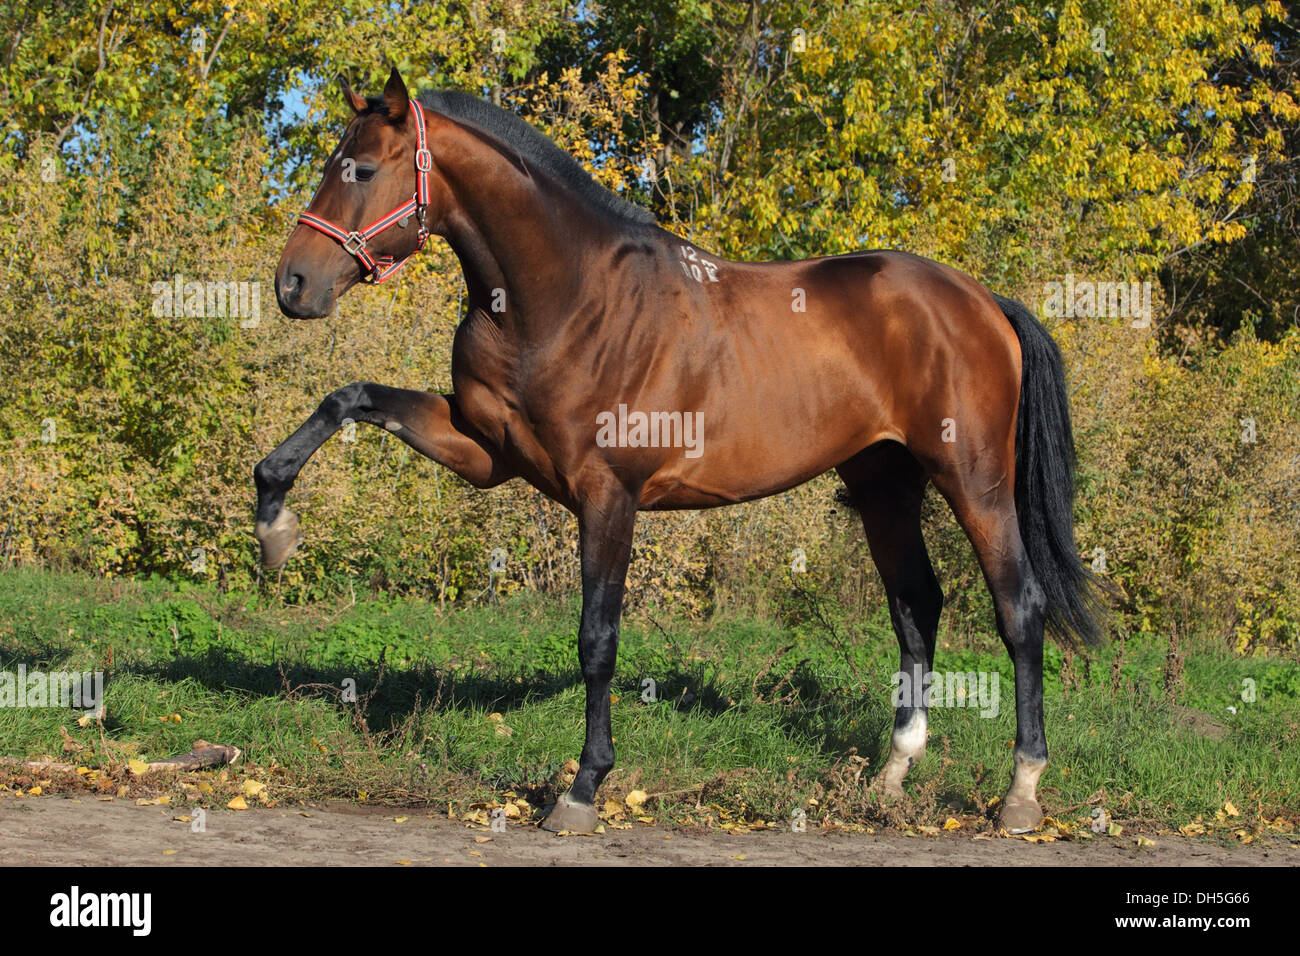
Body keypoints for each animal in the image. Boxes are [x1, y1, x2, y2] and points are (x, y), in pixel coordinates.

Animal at [261, 67, 1104, 835]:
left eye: (362, 169)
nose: (292, 285)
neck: (565, 298)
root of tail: (983, 302)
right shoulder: (484, 453)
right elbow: (349, 399)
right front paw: (273, 521)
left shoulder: (608, 494)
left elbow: (596, 640)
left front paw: (582, 789)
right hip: (883, 484)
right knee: (916, 605)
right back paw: (891, 775)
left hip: (975, 481)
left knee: (1018, 608)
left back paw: (1021, 792)